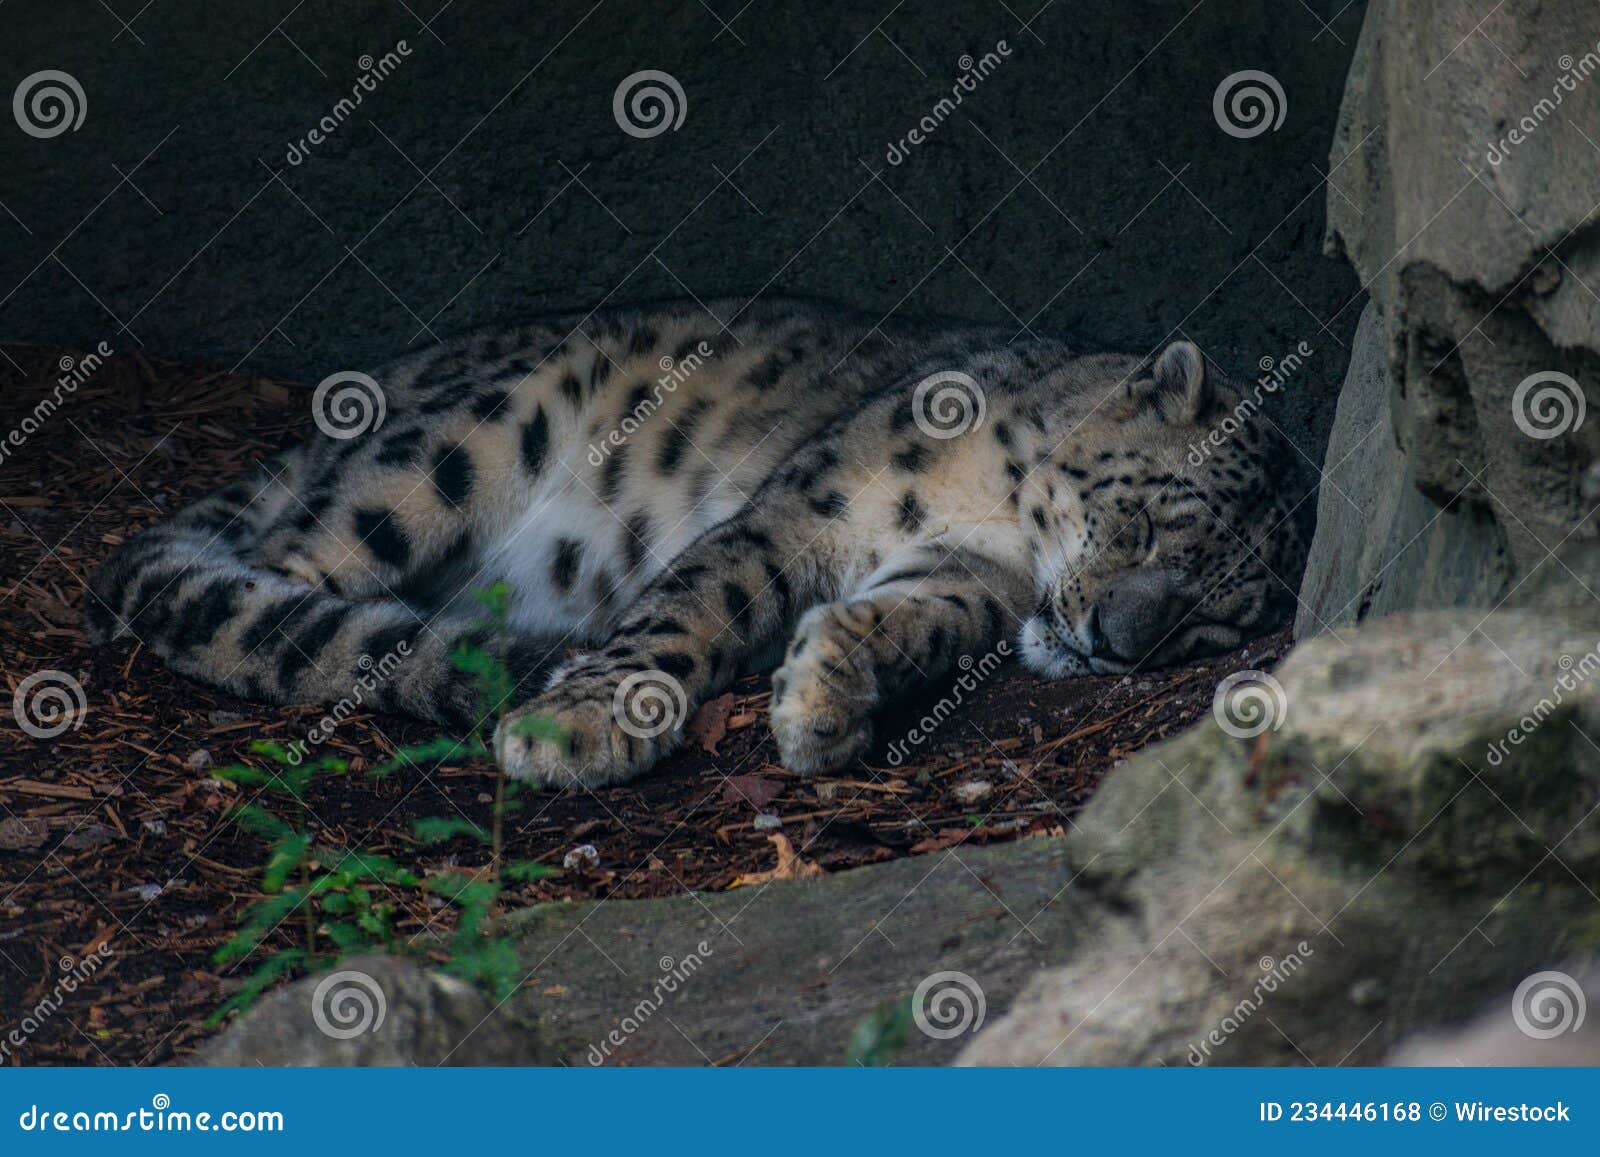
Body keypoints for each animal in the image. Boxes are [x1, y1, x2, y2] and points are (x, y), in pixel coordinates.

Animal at [86, 296, 1315, 788]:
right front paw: (581, 726)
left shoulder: (960, 576)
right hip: (454, 444)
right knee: (259, 579)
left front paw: (824, 703)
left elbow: (906, 619)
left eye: (1213, 620)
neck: (998, 522)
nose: (1113, 639)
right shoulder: (812, 503)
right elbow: (699, 601)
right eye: (1142, 517)